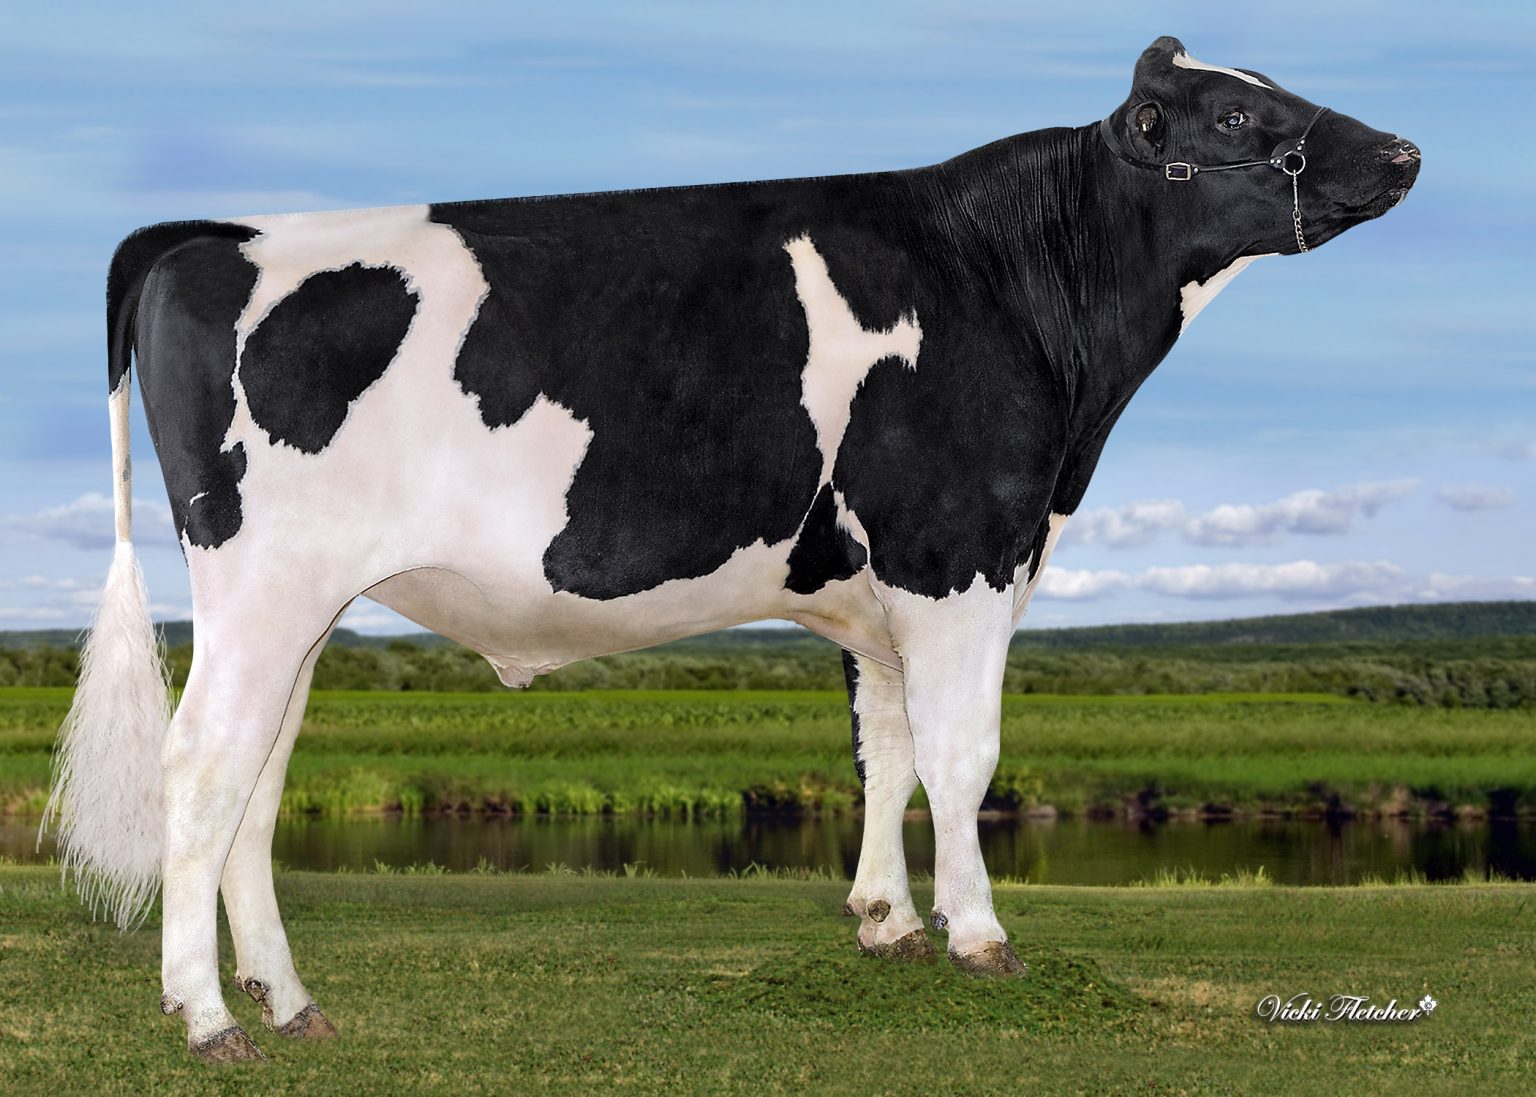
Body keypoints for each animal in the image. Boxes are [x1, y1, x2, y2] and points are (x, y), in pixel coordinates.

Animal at [43, 36, 1419, 1061]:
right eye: (1234, 116)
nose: (1405, 151)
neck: (1016, 286)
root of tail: (209, 234)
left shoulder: (879, 593)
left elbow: (886, 752)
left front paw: (884, 923)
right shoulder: (959, 553)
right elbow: (963, 757)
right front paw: (979, 936)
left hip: (299, 607)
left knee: (258, 778)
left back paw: (288, 1001)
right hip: (261, 581)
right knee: (198, 766)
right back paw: (206, 1014)